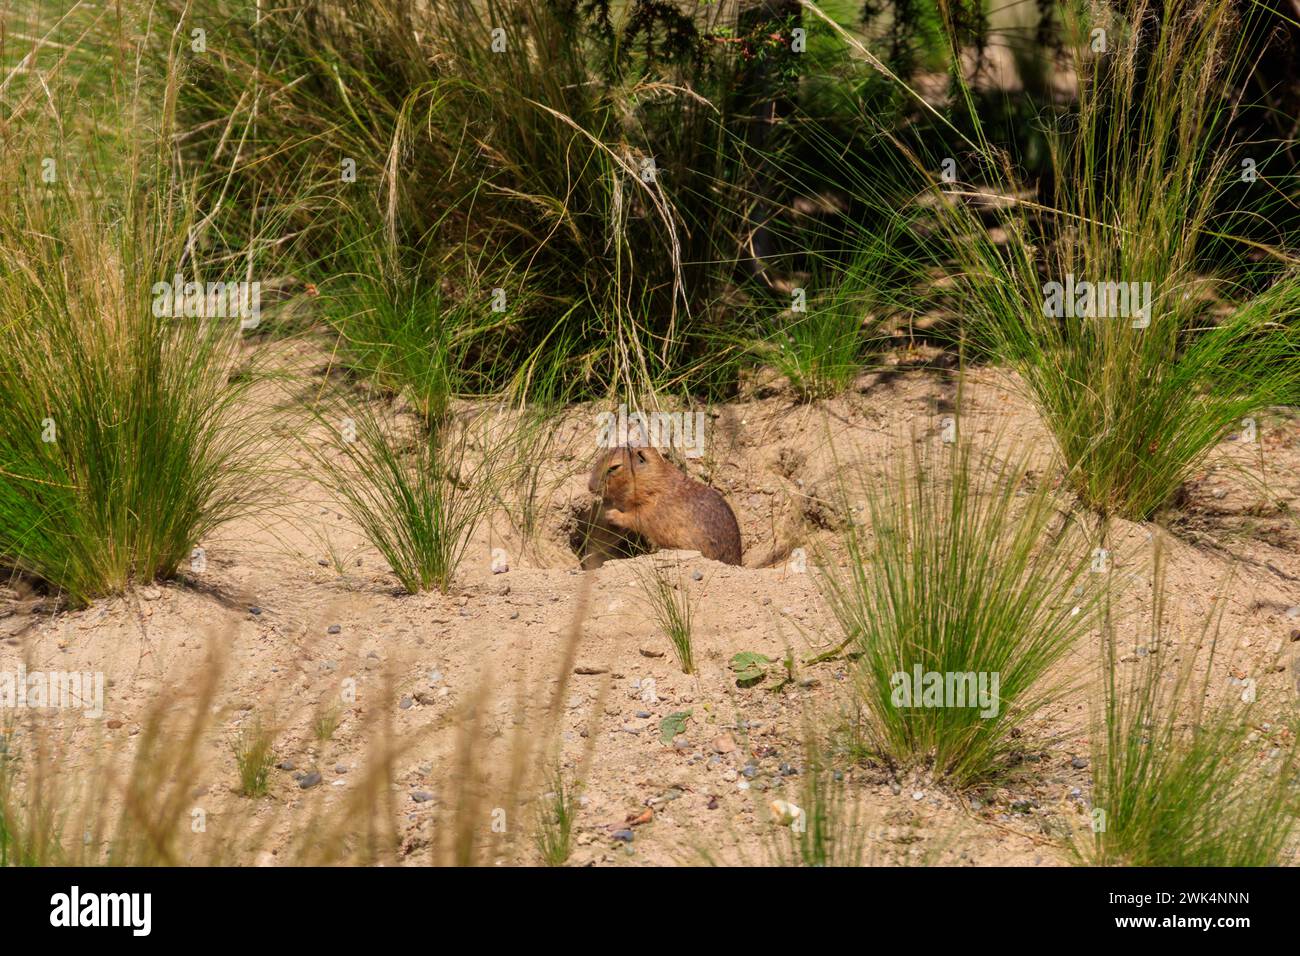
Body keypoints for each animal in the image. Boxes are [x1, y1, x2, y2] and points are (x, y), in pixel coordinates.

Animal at [587, 445, 742, 565]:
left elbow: (635, 518)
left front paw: (611, 514)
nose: (590, 487)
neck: (656, 482)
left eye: (614, 467)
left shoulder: (652, 510)